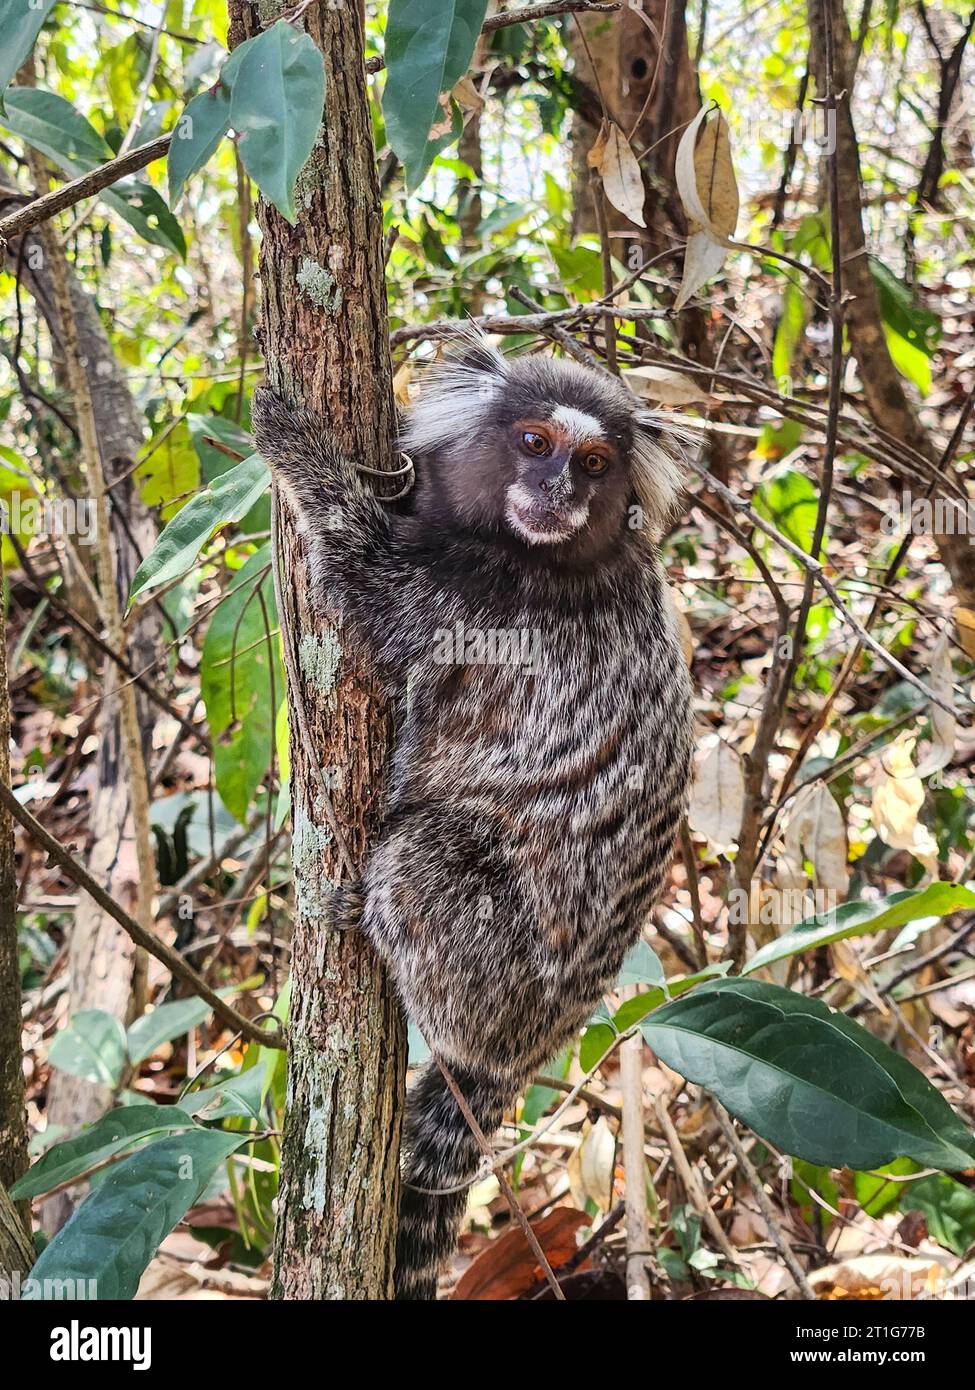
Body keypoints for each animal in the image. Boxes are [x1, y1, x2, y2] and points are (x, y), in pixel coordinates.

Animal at [251, 328, 693, 1300]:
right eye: (534, 442)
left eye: (595, 463)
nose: (560, 491)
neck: (540, 554)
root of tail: (524, 1047)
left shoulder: (471, 601)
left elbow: (361, 584)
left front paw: (297, 451)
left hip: (493, 976)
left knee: (427, 853)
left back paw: (371, 919)